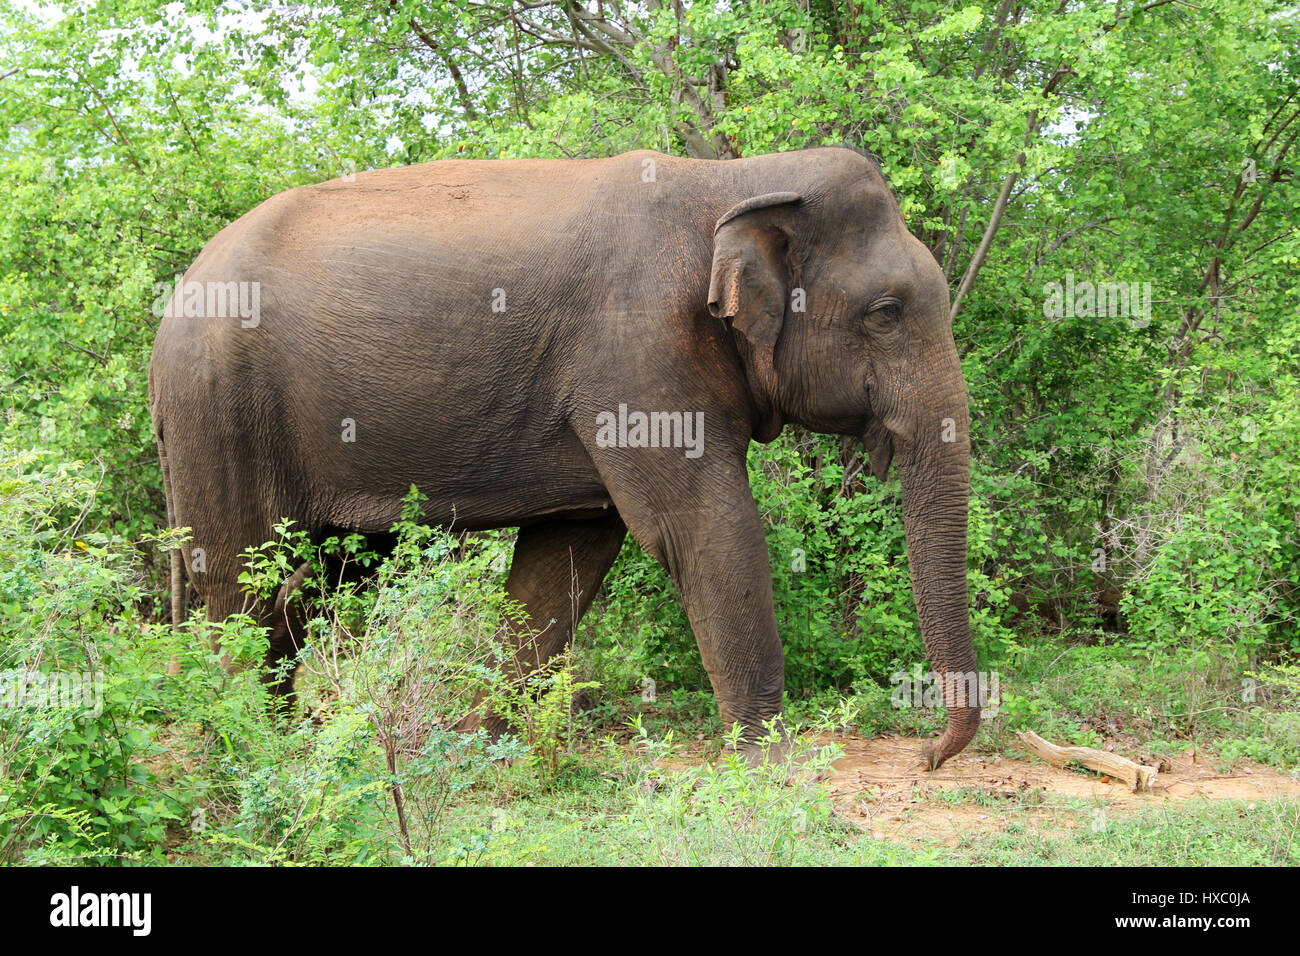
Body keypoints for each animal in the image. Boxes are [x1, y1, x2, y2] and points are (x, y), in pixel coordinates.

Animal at [149, 146, 980, 769]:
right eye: (886, 313)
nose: (928, 756)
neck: (736, 178)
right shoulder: (638, 347)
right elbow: (701, 527)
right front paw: (775, 765)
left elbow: (570, 555)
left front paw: (488, 749)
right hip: (217, 410)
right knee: (242, 578)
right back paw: (247, 750)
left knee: (321, 573)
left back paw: (295, 741)